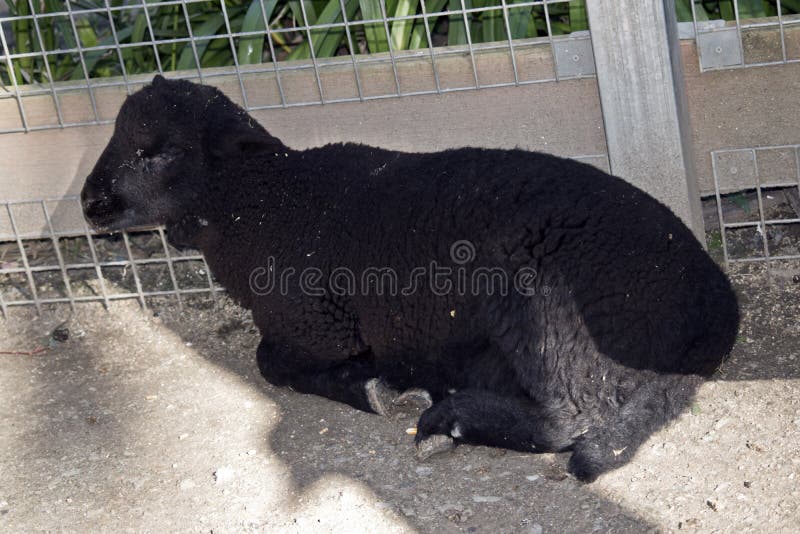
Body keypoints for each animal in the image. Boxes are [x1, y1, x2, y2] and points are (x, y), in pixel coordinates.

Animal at [81, 75, 740, 482]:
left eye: (158, 151)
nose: (89, 204)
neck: (264, 202)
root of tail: (715, 308)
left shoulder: (318, 323)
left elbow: (269, 361)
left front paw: (367, 386)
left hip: (540, 301)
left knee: (572, 416)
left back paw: (450, 418)